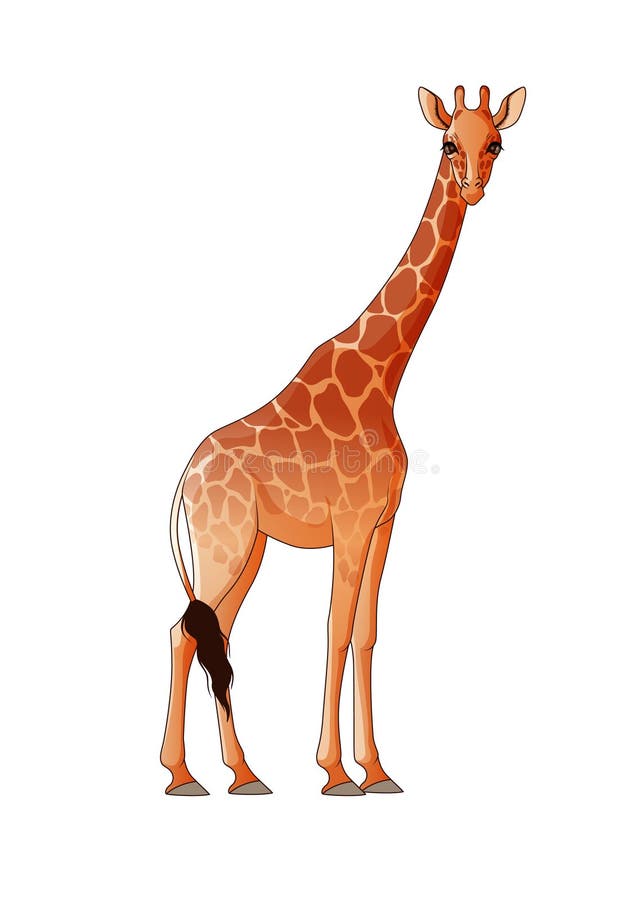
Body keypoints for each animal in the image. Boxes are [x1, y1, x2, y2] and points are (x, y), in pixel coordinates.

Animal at [160, 84, 526, 796]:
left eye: (495, 142)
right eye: (448, 143)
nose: (472, 187)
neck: (385, 374)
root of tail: (181, 483)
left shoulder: (385, 522)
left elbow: (367, 633)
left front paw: (377, 770)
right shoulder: (351, 522)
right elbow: (334, 631)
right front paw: (334, 772)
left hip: (247, 550)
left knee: (211, 634)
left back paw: (240, 774)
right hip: (225, 546)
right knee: (186, 633)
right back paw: (187, 775)